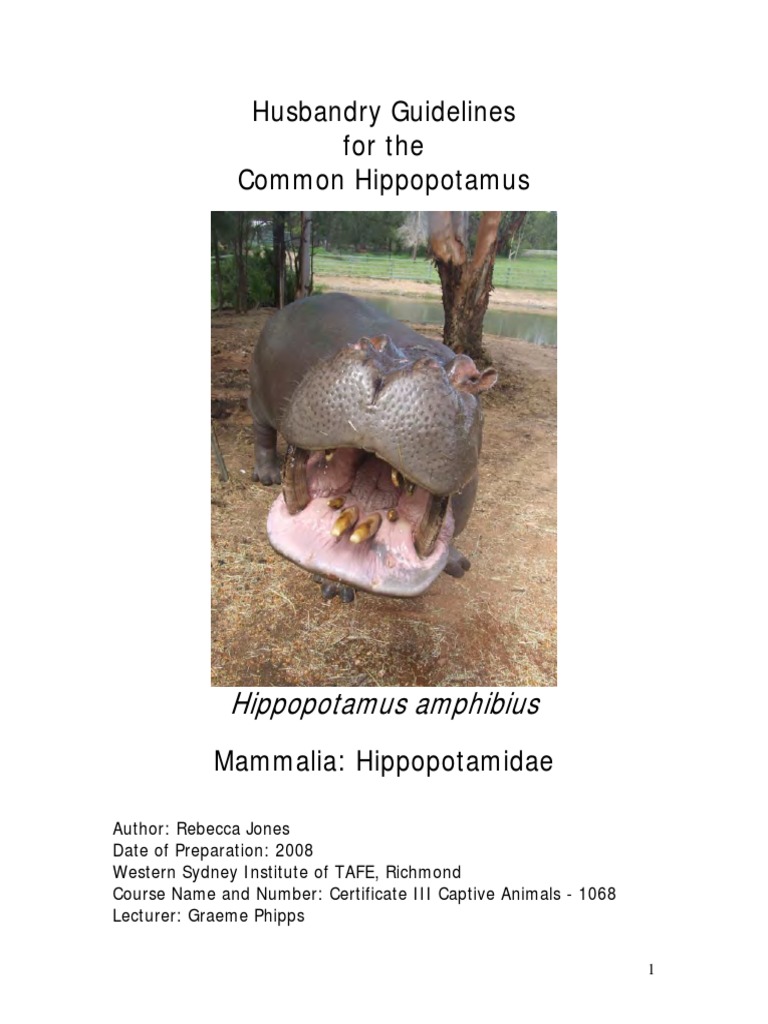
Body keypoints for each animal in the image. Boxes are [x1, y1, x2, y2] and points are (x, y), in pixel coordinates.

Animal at [249, 293, 496, 599]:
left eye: (472, 377)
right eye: (373, 340)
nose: (390, 369)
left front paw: (459, 565)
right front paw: (335, 587)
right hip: (258, 396)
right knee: (262, 432)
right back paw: (267, 475)